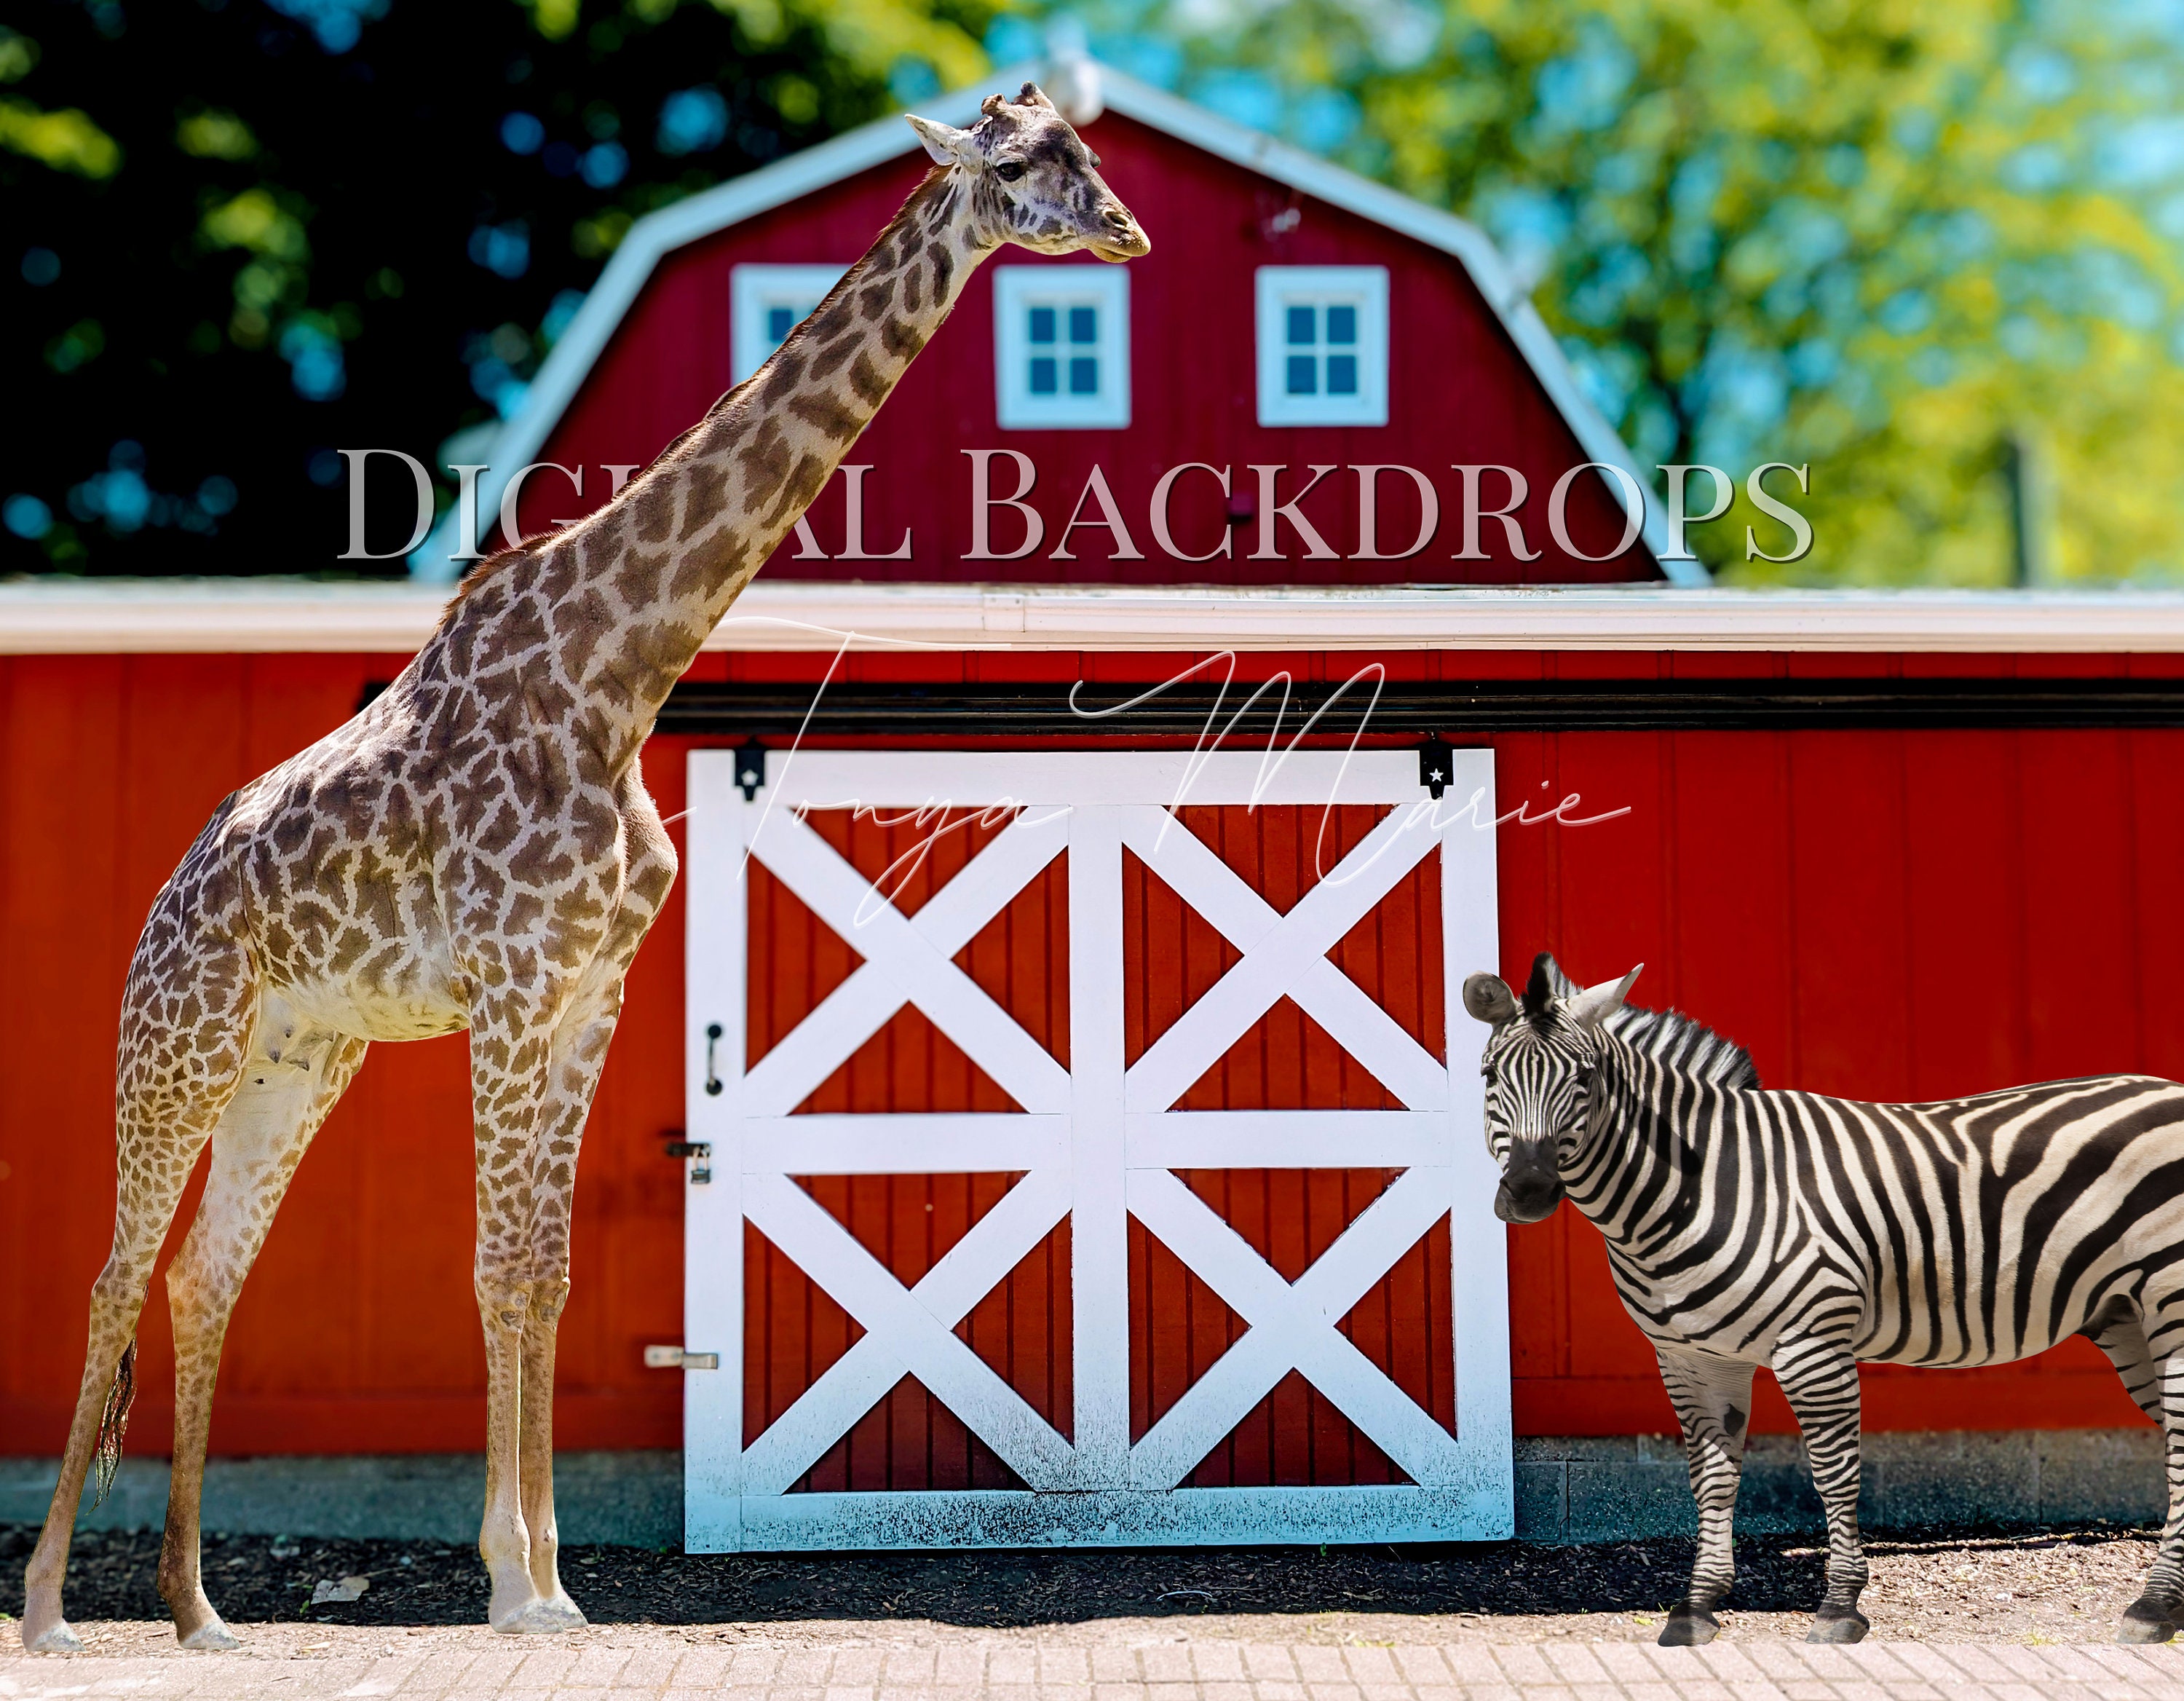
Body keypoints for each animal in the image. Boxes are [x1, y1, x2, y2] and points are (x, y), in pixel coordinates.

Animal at [20, 84, 1148, 1654]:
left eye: (1085, 154)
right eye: (1030, 159)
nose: (1130, 232)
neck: (621, 679)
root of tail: (166, 896)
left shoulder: (588, 995)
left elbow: (546, 1274)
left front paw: (558, 1581)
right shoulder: (508, 986)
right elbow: (497, 1264)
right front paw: (508, 1583)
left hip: (296, 1056)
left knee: (203, 1271)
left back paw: (199, 1611)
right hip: (175, 1040)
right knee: (116, 1270)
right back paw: (52, 1608)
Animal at [1464, 951, 2184, 1647]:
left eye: (1584, 1080)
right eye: (1489, 1076)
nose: (1528, 1193)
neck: (1702, 1186)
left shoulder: (1812, 1344)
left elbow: (1833, 1473)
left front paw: (1840, 1607)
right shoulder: (1692, 1359)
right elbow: (1712, 1476)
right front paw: (1697, 1608)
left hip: (2171, 1306)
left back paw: (2153, 1608)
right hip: (2127, 1318)